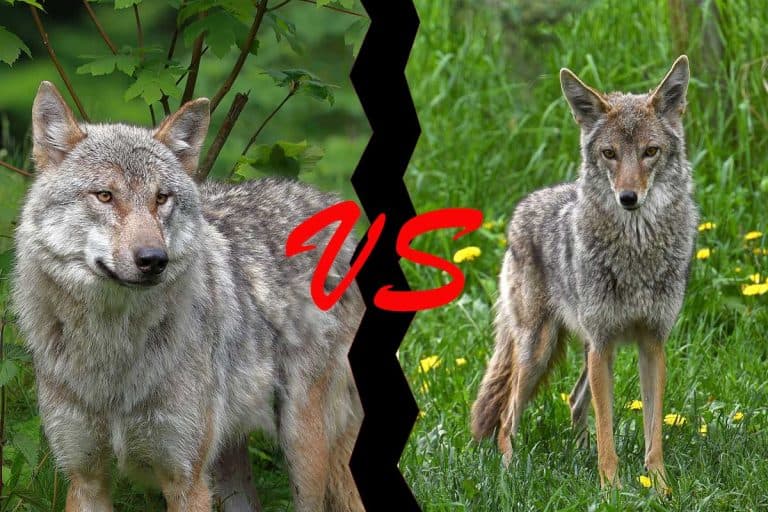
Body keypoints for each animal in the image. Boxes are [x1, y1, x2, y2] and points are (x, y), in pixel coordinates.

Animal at [12, 81, 364, 512]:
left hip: (303, 448)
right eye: (105, 196)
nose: (153, 259)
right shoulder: (86, 478)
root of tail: (328, 204)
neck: (112, 353)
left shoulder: (185, 480)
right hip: (231, 468)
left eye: (161, 198)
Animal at [470, 56, 697, 491]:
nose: (628, 198)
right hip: (540, 350)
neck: (636, 251)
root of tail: (522, 208)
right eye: (609, 153)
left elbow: (653, 432)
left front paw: (660, 488)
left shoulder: (652, 343)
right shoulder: (604, 343)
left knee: (575, 401)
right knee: (507, 415)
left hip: (582, 351)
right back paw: (510, 474)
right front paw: (611, 489)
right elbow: (608, 433)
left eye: (650, 152)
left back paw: (577, 455)